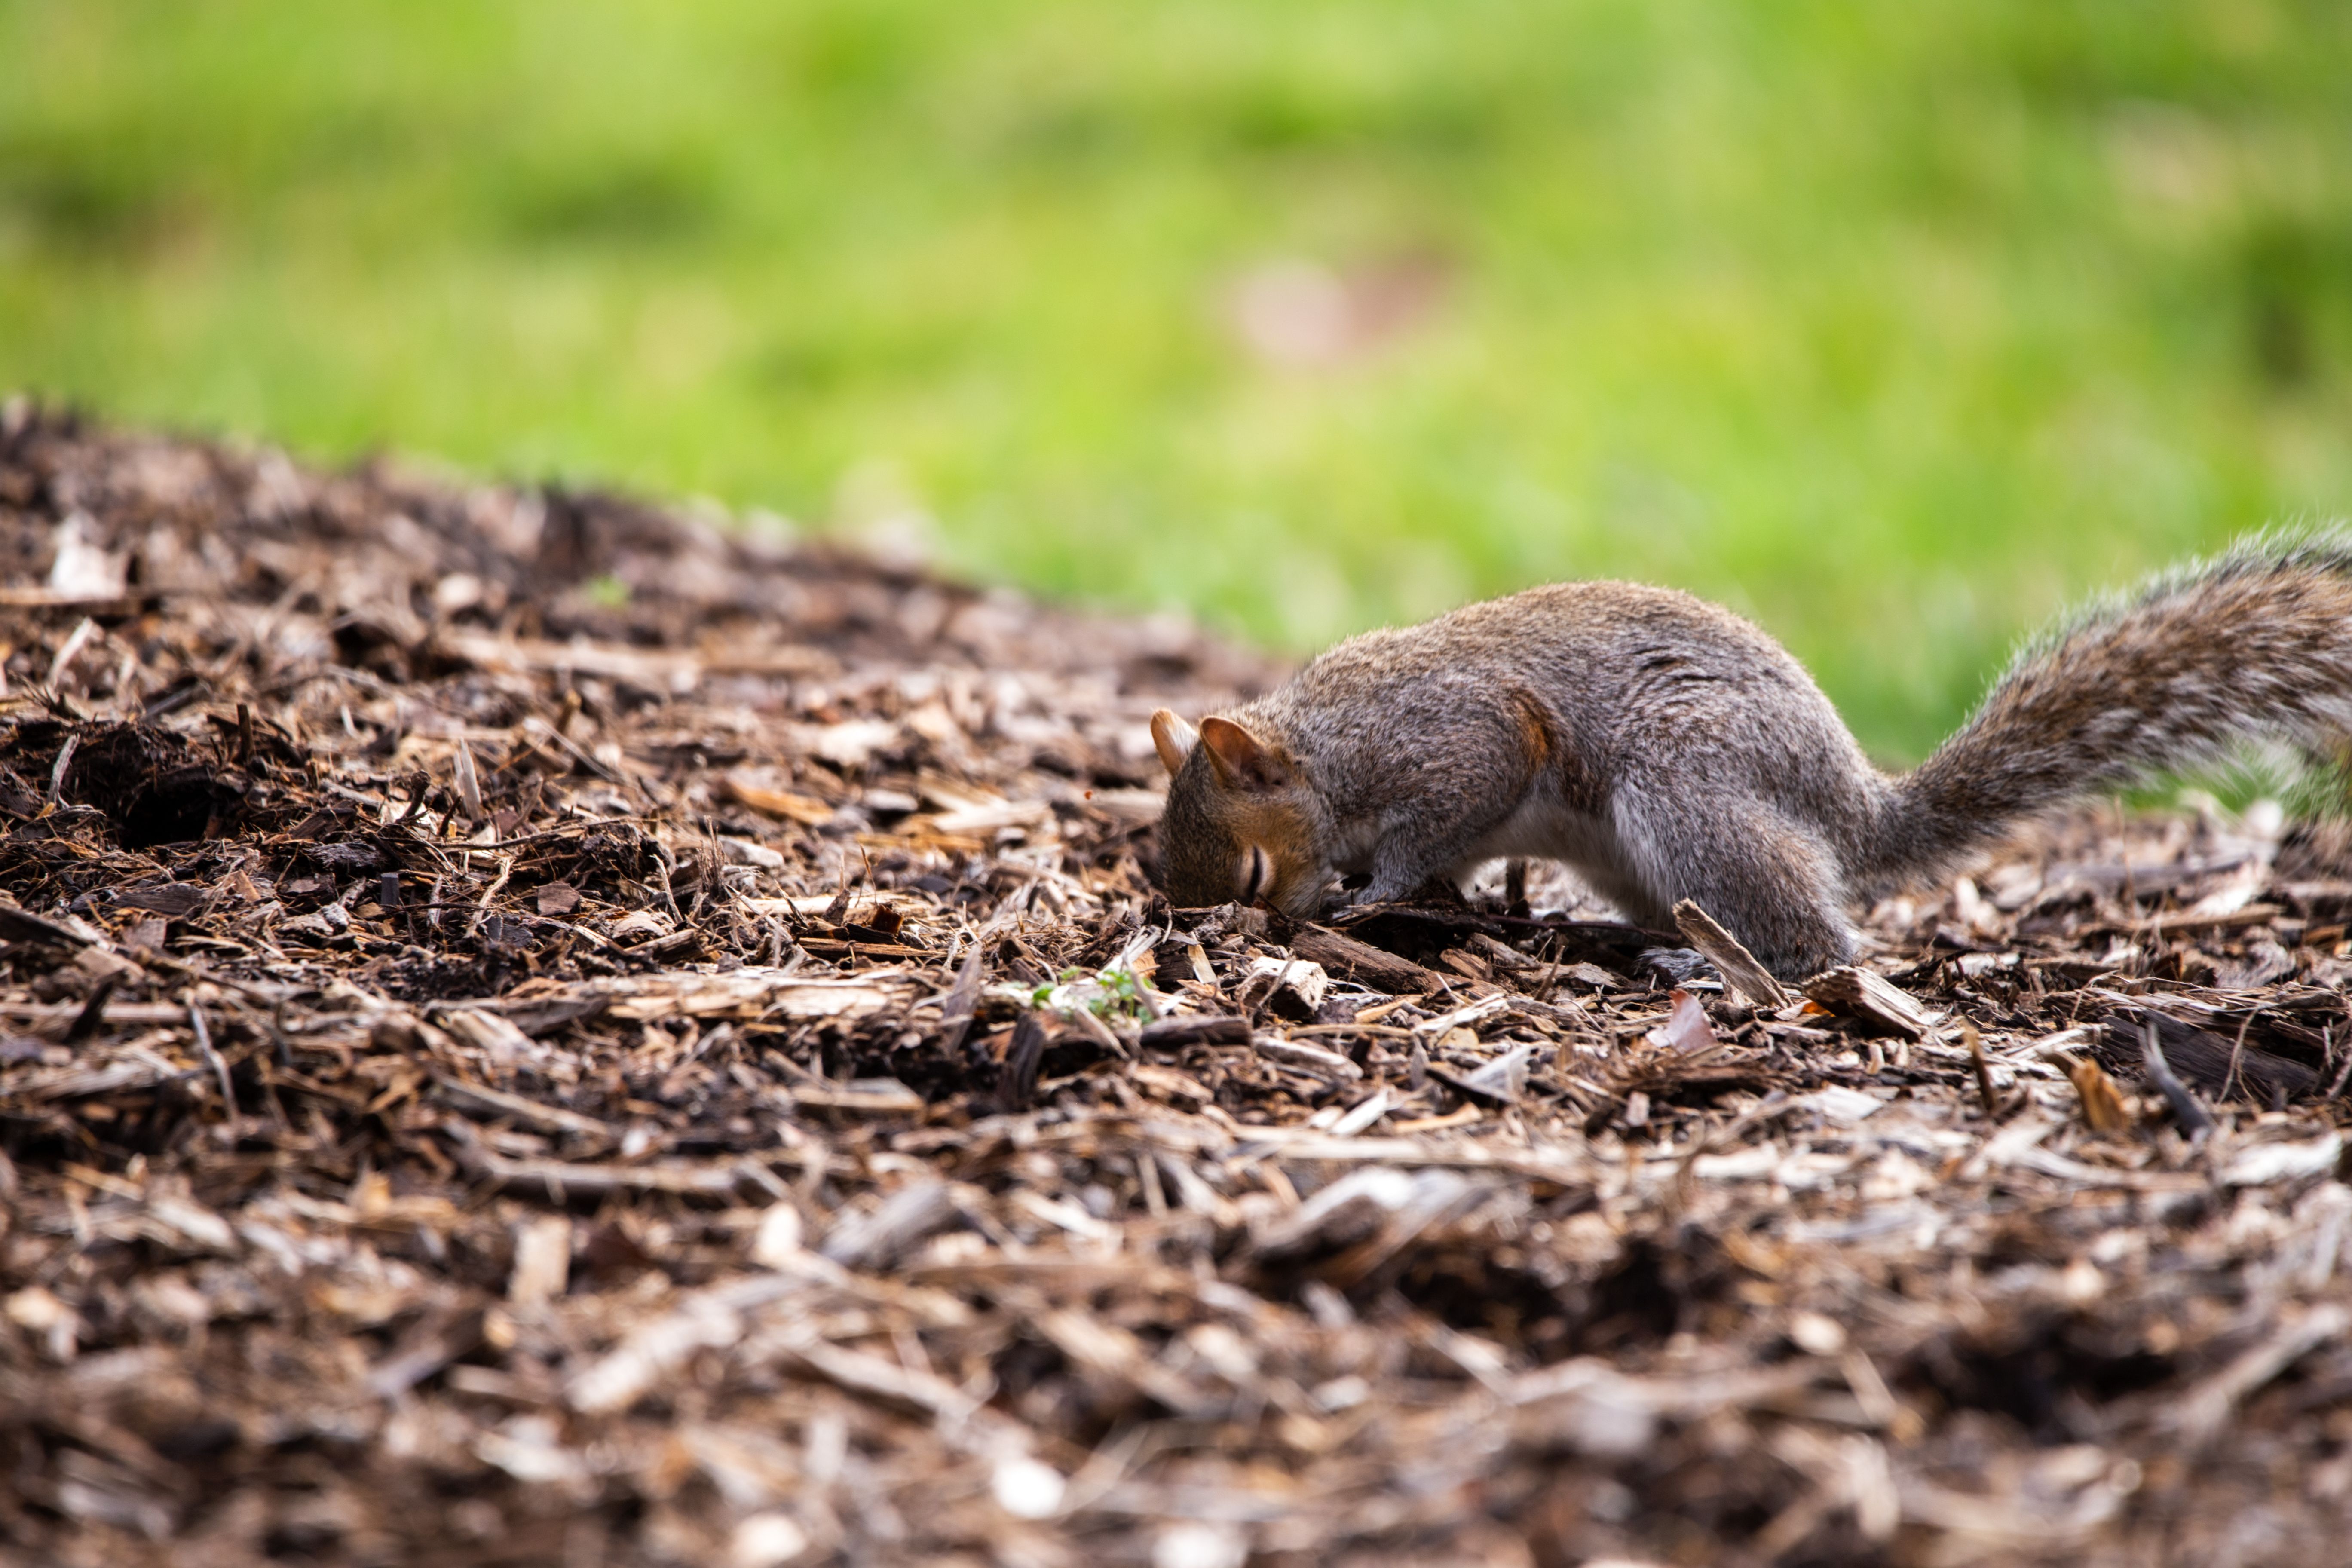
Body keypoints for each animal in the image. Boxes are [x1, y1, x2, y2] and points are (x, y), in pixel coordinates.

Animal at [1149, 530, 2352, 979]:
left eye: (1249, 868)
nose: (1255, 929)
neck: (1320, 748)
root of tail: (1853, 807)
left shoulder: (1451, 744)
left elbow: (1443, 813)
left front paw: (1376, 894)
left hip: (1689, 795)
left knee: (1820, 947)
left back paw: (1718, 966)